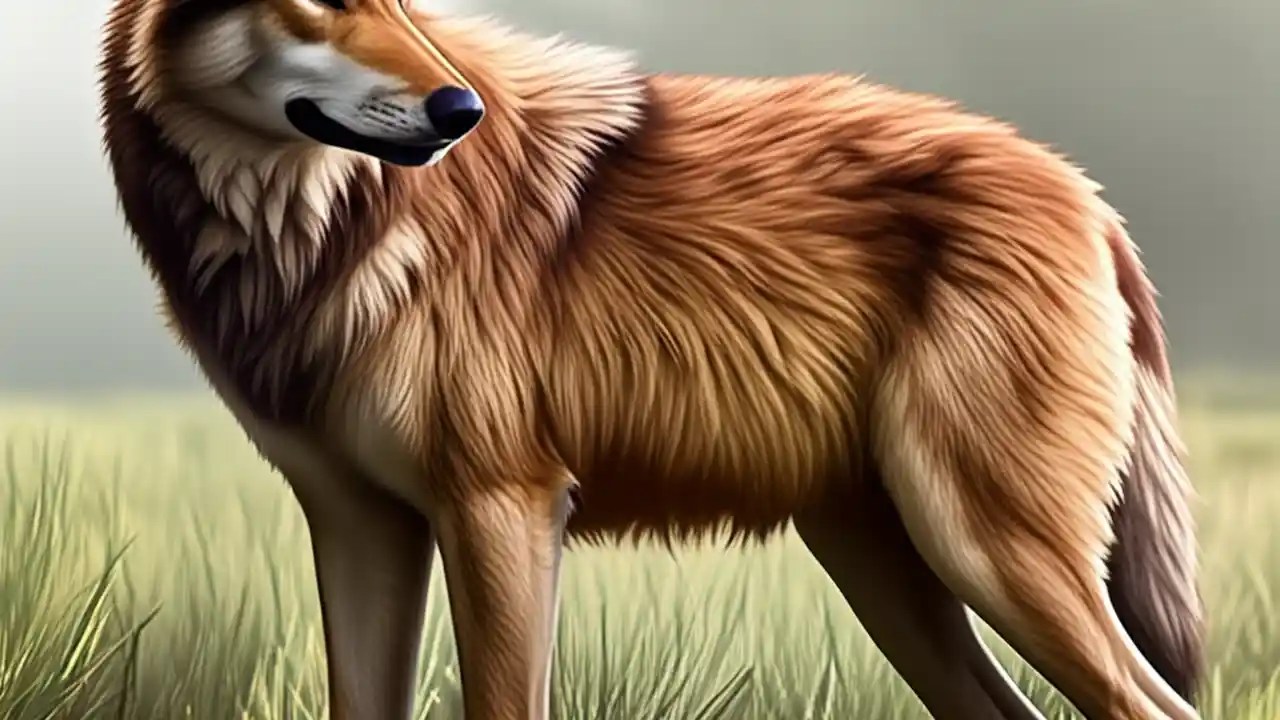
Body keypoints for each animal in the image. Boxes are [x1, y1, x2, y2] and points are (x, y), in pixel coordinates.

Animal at [98, 1, 1204, 718]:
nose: (461, 112)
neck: (328, 222)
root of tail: (1087, 195)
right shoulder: (357, 524)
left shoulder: (502, 510)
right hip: (892, 568)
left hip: (981, 547)